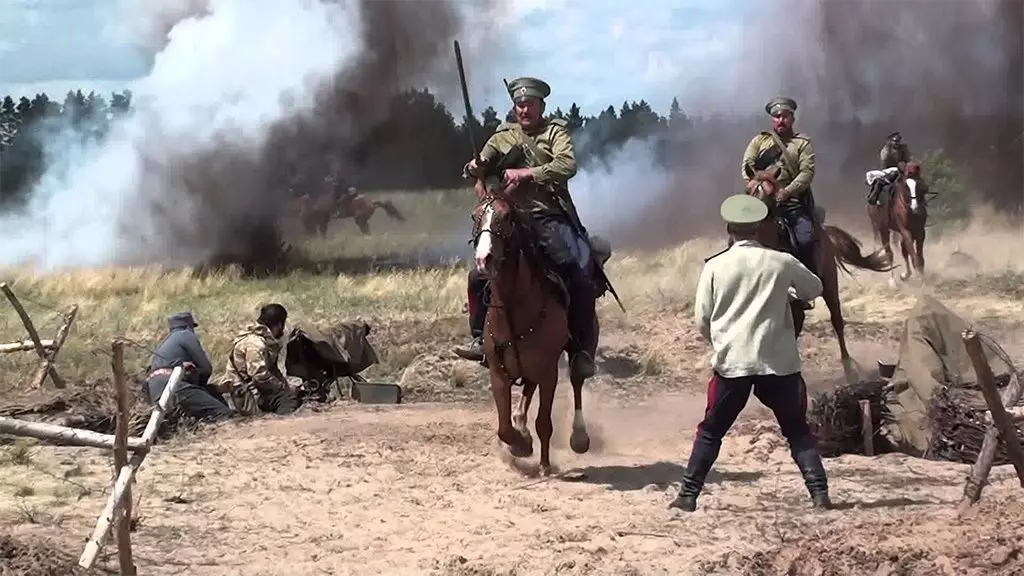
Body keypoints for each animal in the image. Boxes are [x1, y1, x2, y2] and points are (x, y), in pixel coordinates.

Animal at [471, 181, 593, 473]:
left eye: (506, 217)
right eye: (474, 216)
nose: (483, 259)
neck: (513, 307)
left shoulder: (549, 372)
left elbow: (544, 422)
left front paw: (544, 464)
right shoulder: (498, 373)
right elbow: (504, 427)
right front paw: (520, 444)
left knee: (577, 378)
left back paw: (579, 436)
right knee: (527, 390)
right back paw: (521, 425)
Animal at [745, 166, 897, 381]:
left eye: (769, 195)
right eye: (748, 190)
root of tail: (825, 233)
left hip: (829, 286)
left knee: (837, 321)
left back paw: (849, 368)